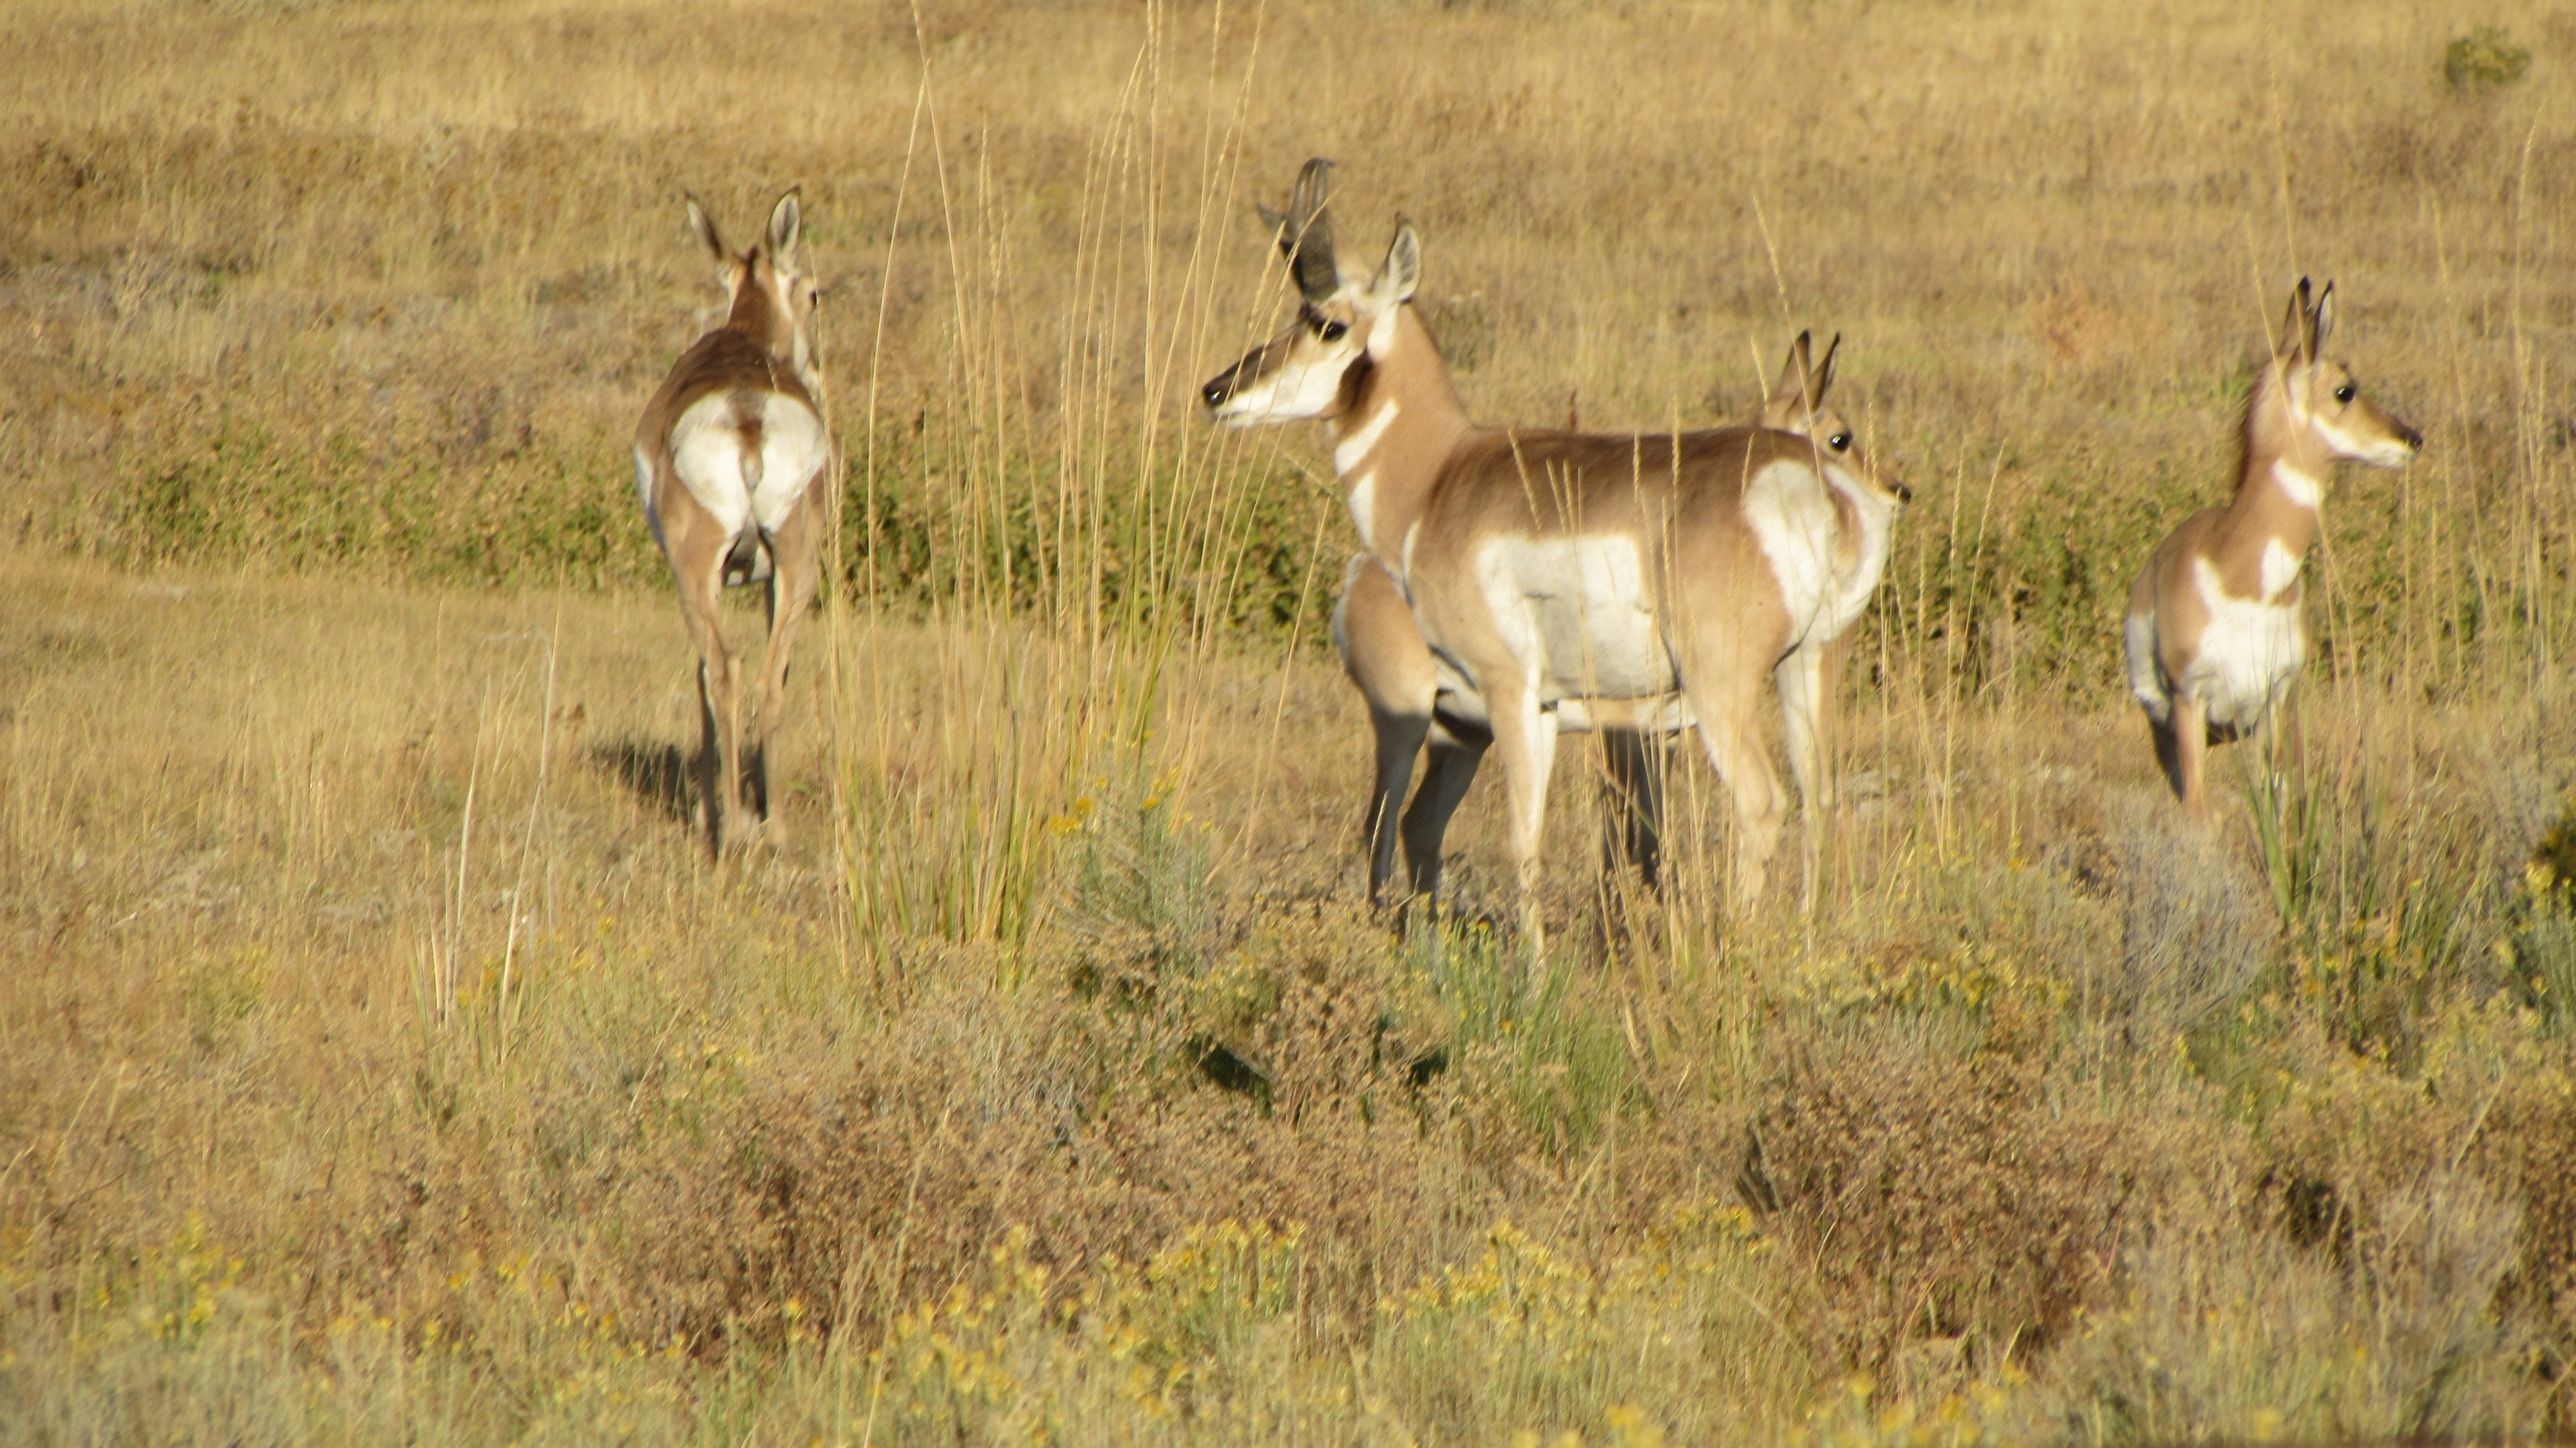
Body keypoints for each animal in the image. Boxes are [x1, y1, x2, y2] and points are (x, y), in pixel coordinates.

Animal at [634, 190, 830, 854]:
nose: (816, 373)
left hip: (696, 575)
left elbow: (699, 673)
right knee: (770, 678)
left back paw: (730, 831)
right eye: (814, 293)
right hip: (797, 566)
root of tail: (746, 413)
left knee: (723, 670)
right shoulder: (765, 581)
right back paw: (775, 829)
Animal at [1332, 330, 1857, 905]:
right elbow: (1633, 843)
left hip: (1462, 738)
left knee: (1419, 825)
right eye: (1840, 438)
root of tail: (1363, 574)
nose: (1895, 490)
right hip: (1402, 728)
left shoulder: (1660, 740)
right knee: (1379, 828)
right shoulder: (1626, 741)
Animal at [2124, 278, 2420, 820]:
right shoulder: (2189, 699)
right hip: (2171, 727)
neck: (2242, 578)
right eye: (2345, 389)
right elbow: (2199, 810)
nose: (2413, 438)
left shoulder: (2276, 699)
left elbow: (2279, 802)